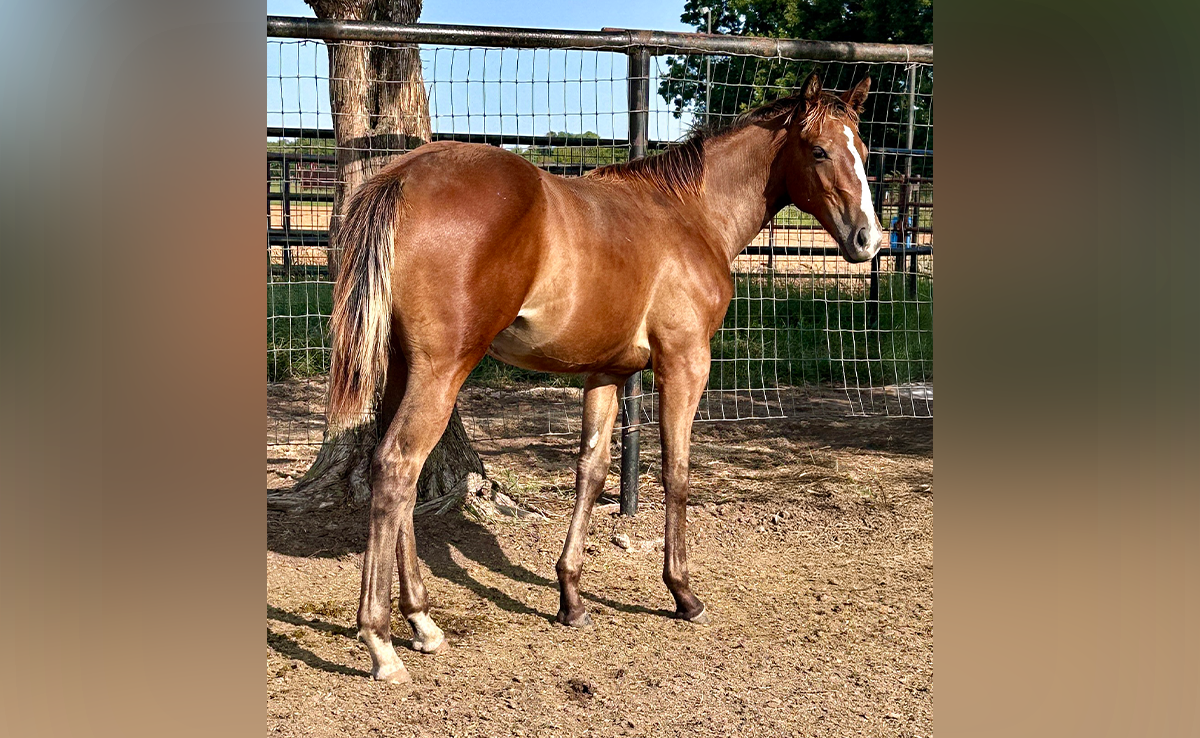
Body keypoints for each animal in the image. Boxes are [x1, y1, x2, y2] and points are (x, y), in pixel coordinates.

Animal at [324, 72, 883, 683]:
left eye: (864, 150)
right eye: (819, 150)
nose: (868, 240)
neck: (689, 215)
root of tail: (403, 175)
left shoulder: (605, 373)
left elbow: (590, 473)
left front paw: (570, 599)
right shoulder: (685, 362)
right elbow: (676, 471)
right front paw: (683, 594)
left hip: (402, 366)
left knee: (394, 468)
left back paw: (422, 620)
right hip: (443, 369)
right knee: (398, 465)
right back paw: (381, 643)